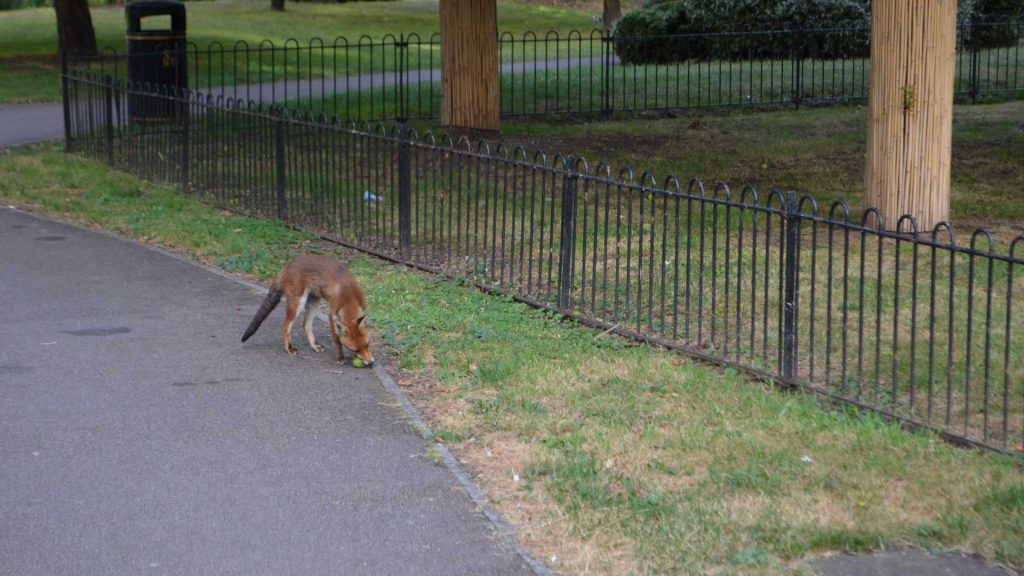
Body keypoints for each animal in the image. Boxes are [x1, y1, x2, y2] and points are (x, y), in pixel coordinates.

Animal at [241, 254, 374, 367]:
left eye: (367, 344)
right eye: (355, 349)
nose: (370, 362)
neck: (349, 298)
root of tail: (288, 265)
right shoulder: (331, 314)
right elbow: (337, 340)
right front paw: (340, 357)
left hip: (314, 302)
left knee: (305, 324)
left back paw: (314, 346)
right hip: (298, 303)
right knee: (286, 325)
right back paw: (289, 348)